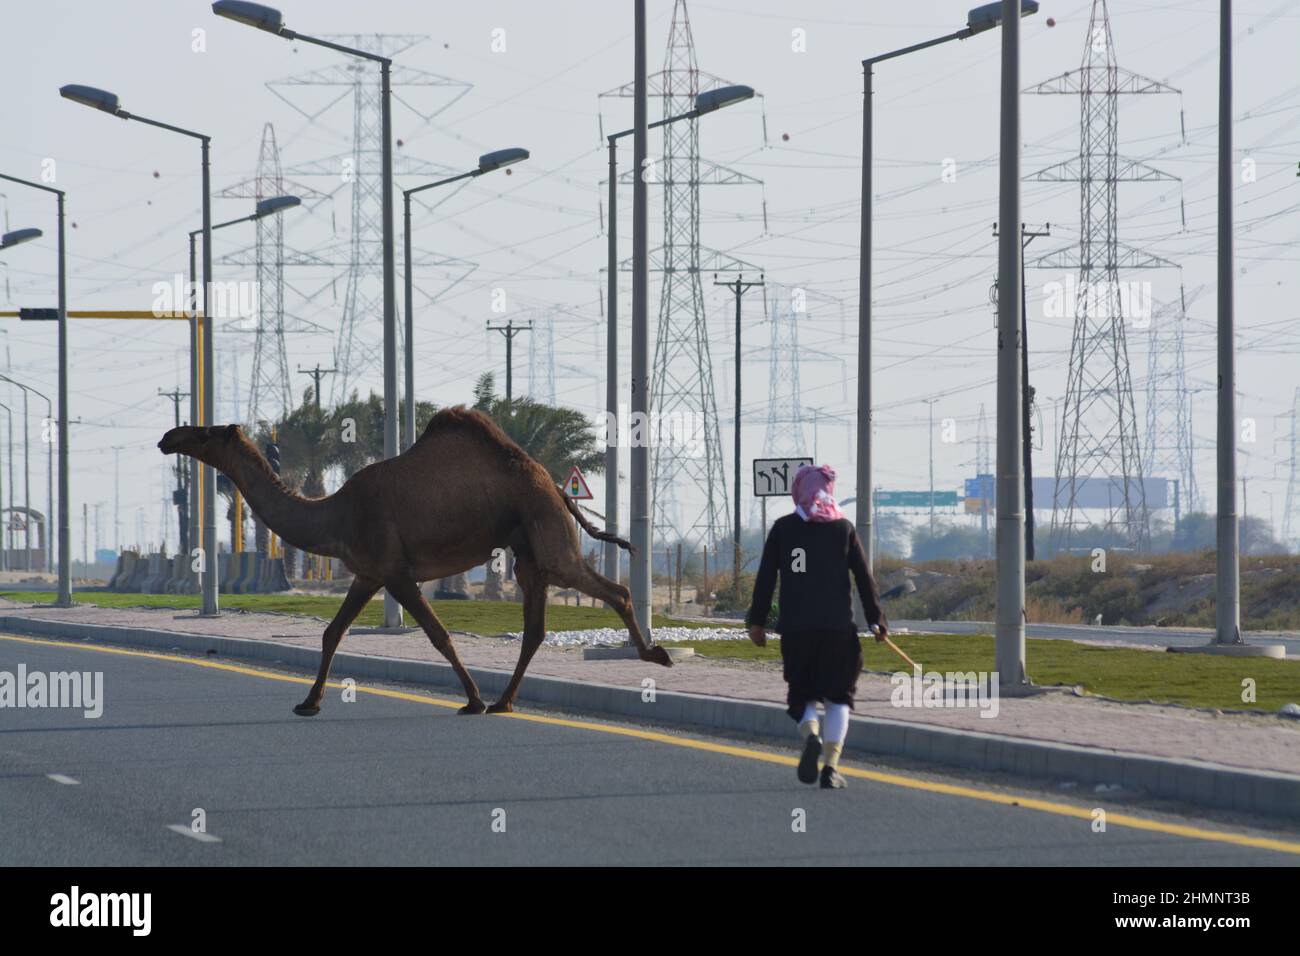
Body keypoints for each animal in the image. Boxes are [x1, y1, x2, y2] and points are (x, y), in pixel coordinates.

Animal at [158, 406, 671, 716]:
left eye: (206, 433)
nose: (167, 436)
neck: (336, 514)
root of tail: (557, 488)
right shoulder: (367, 574)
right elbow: (331, 633)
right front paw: (308, 702)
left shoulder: (395, 573)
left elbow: (439, 635)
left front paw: (471, 699)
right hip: (528, 549)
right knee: (536, 626)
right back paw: (506, 701)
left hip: (544, 529)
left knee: (614, 590)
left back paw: (654, 654)